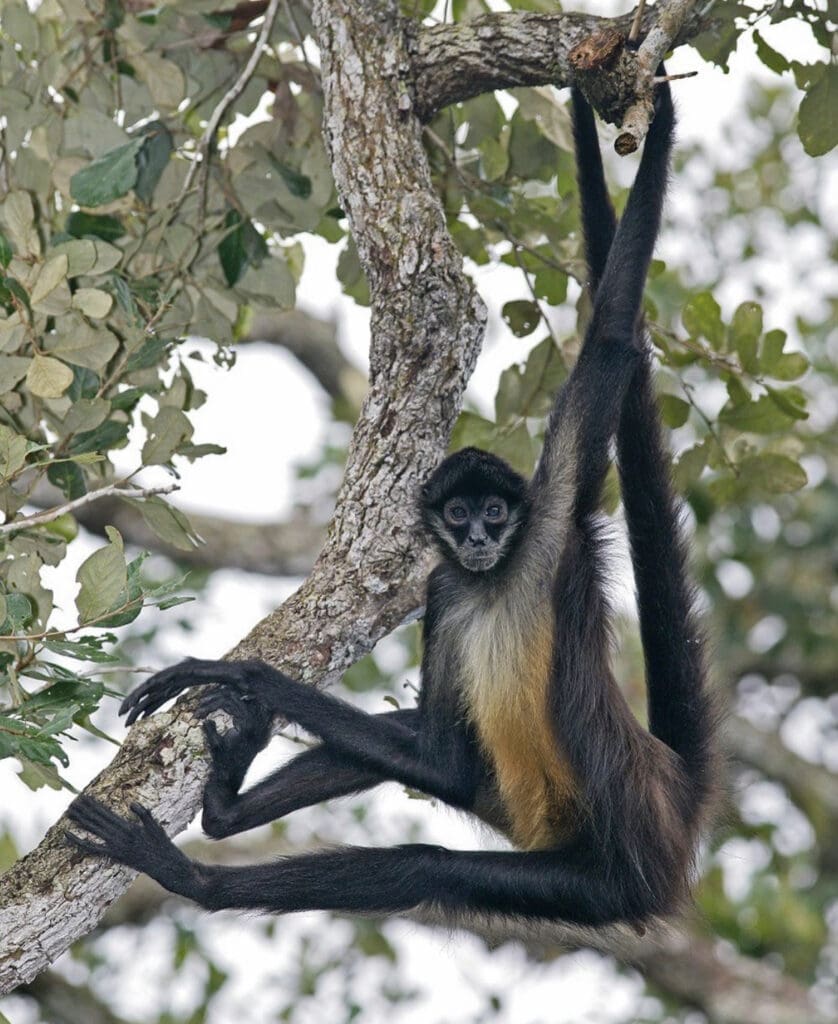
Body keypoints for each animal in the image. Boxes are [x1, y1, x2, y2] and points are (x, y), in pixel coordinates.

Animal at [66, 78, 718, 930]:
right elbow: (437, 757)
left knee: (423, 865)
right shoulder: (443, 590)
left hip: (606, 882)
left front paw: (242, 674)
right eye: (457, 516)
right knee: (421, 752)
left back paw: (195, 877)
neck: (491, 581)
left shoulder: (550, 524)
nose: (476, 539)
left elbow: (609, 337)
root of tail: (666, 793)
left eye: (495, 514)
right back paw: (225, 810)